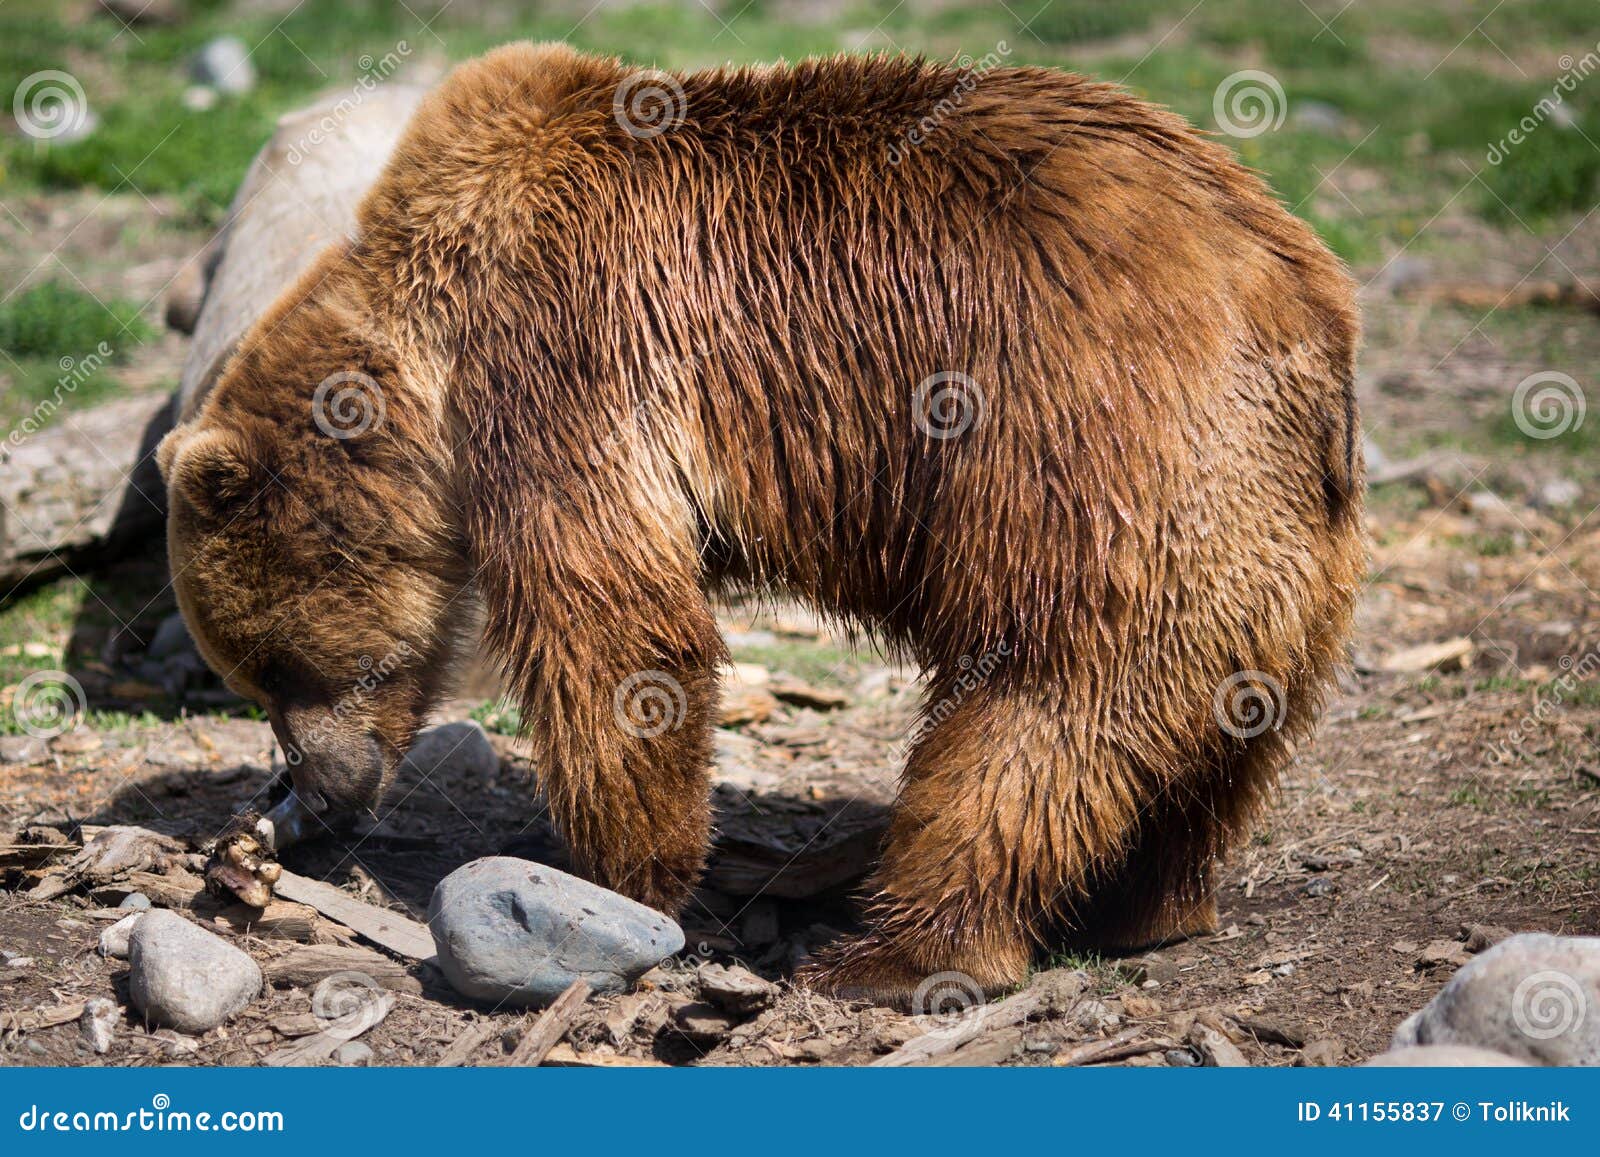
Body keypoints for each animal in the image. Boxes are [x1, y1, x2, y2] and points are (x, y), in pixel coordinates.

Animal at [158, 42, 1365, 1005]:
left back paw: (896, 950)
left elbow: (621, 630)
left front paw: (615, 877)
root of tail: (1299, 305)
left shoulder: (566, 348)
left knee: (1030, 711)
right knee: (1219, 742)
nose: (314, 787)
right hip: (1290, 554)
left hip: (1084, 459)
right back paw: (1150, 904)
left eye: (273, 668)